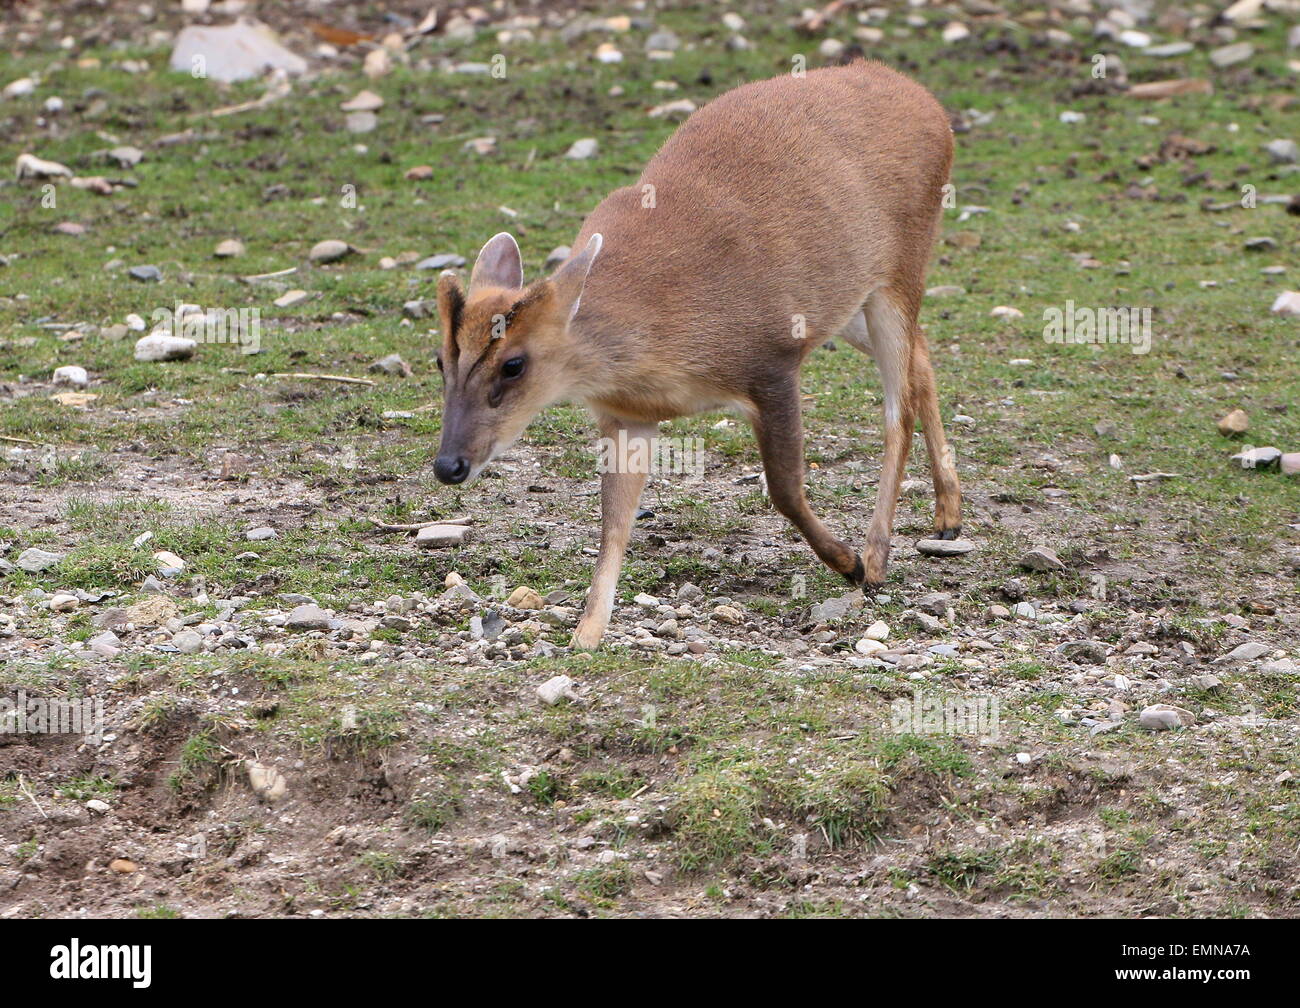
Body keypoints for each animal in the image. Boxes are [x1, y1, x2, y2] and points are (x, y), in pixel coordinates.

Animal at [432, 60, 962, 650]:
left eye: (514, 363)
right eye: (440, 360)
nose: (448, 465)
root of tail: (917, 93)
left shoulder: (771, 360)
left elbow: (784, 489)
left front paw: (848, 563)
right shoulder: (626, 415)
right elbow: (614, 522)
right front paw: (587, 634)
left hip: (901, 266)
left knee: (897, 409)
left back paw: (877, 556)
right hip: (850, 301)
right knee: (922, 355)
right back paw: (947, 515)